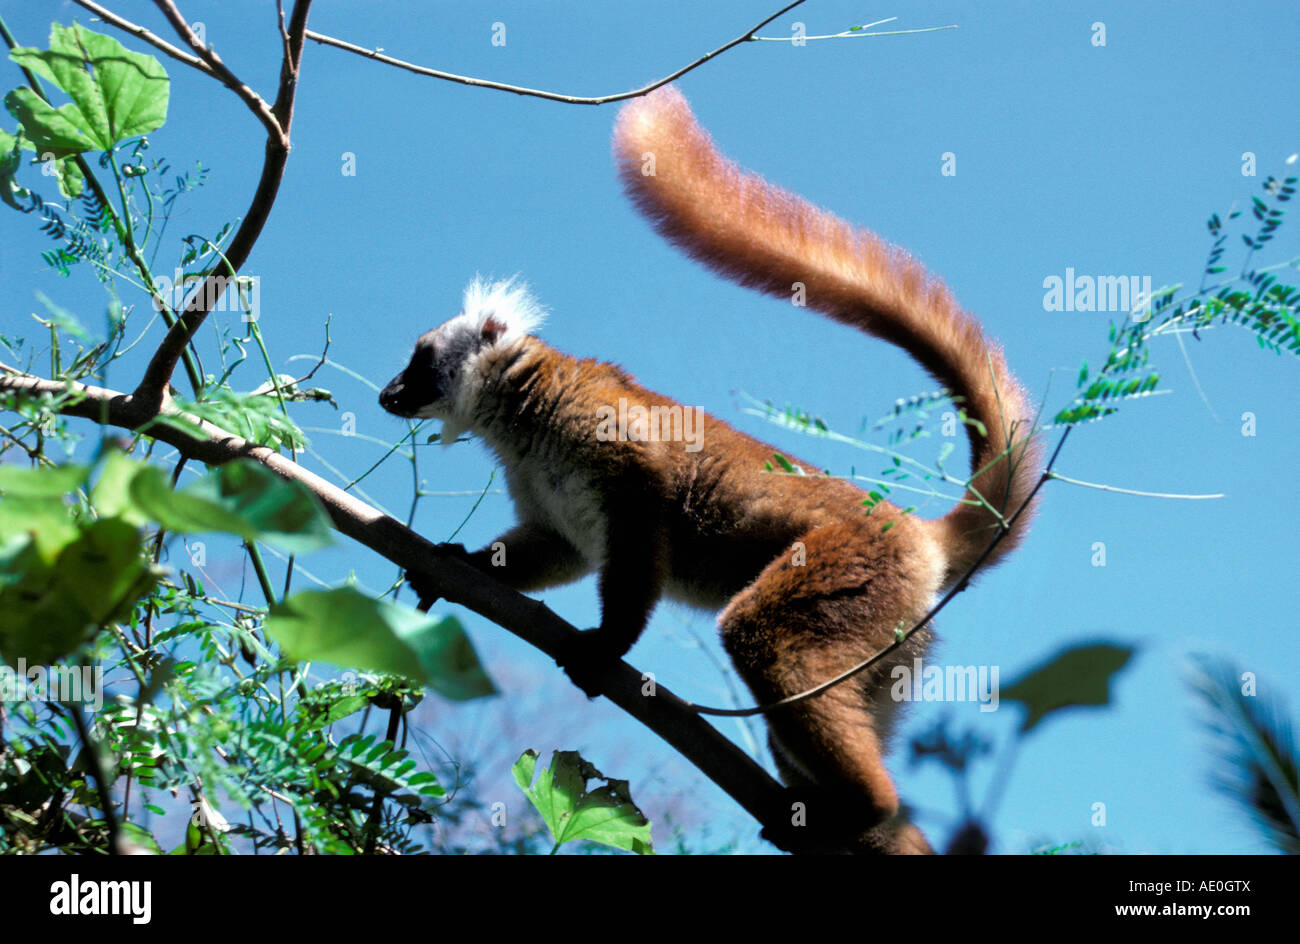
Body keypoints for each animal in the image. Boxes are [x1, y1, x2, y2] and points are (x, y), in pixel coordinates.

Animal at [378, 87, 1041, 854]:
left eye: (419, 360)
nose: (386, 394)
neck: (521, 413)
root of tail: (918, 534)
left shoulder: (603, 429)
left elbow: (647, 506)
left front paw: (607, 646)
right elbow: (564, 548)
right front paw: (455, 567)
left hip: (858, 572)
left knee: (764, 640)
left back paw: (861, 808)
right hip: (895, 639)